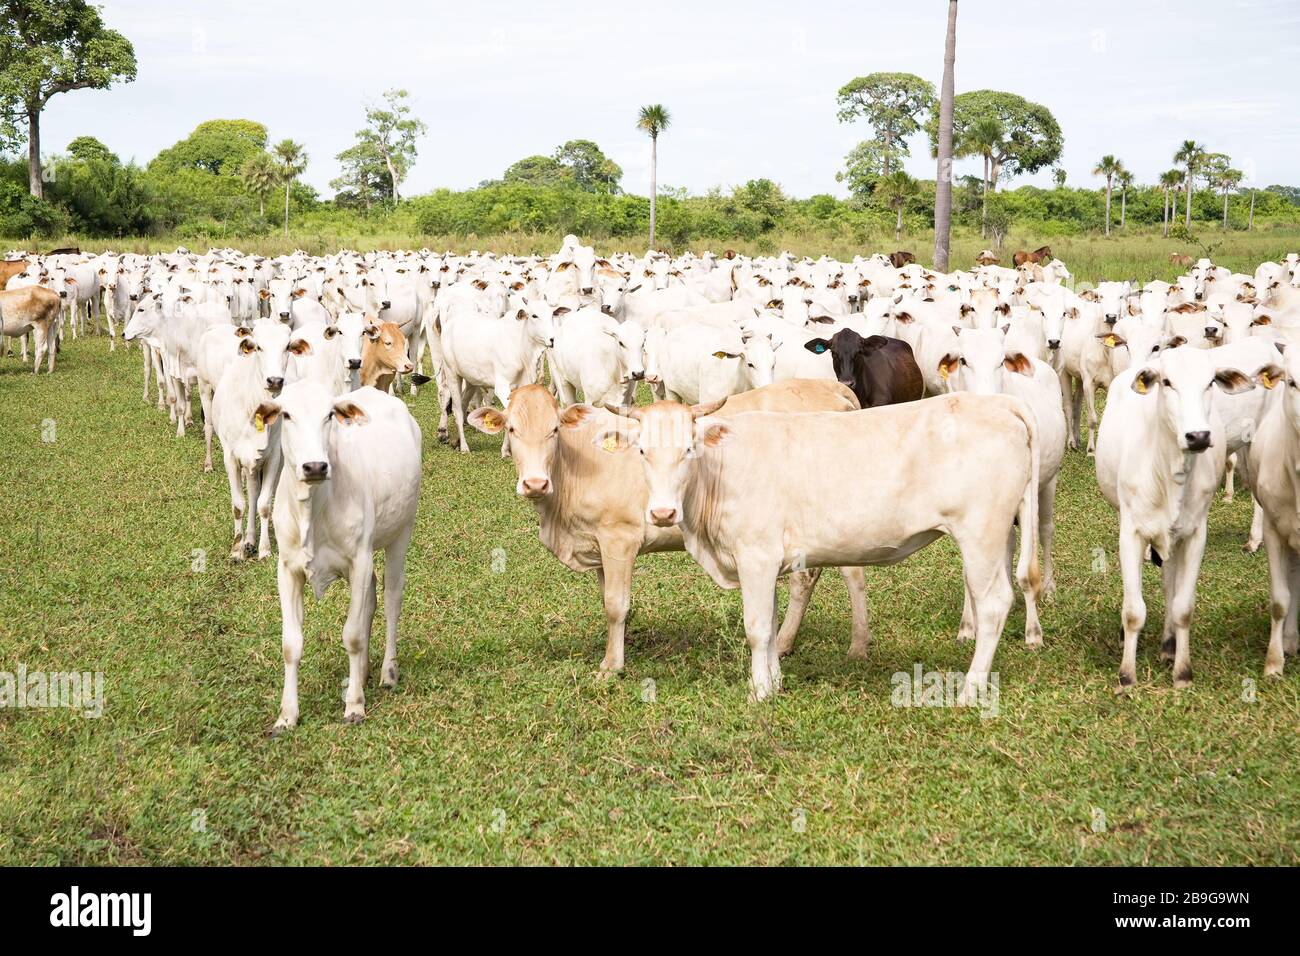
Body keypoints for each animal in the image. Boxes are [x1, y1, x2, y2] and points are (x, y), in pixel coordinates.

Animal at [260, 383, 422, 732]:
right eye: (286, 414)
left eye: (329, 415)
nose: (315, 467)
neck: (314, 508)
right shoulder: (287, 569)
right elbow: (291, 643)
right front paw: (287, 715)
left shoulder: (359, 560)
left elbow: (353, 635)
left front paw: (355, 705)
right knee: (371, 600)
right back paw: (361, 672)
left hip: (401, 532)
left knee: (391, 600)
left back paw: (388, 671)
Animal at [466, 380, 869, 676]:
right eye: (512, 429)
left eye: (553, 430)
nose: (535, 483)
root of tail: (830, 387)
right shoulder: (599, 543)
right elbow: (608, 599)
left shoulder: (619, 537)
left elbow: (615, 604)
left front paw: (611, 666)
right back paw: (786, 643)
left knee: (851, 575)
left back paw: (856, 646)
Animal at [593, 393, 1040, 702]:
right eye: (642, 451)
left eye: (688, 449)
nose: (663, 512)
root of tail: (1000, 402)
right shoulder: (769, 562)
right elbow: (772, 623)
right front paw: (775, 681)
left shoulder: (756, 556)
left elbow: (757, 628)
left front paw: (759, 691)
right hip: (1002, 533)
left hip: (980, 533)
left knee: (994, 603)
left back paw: (969, 690)